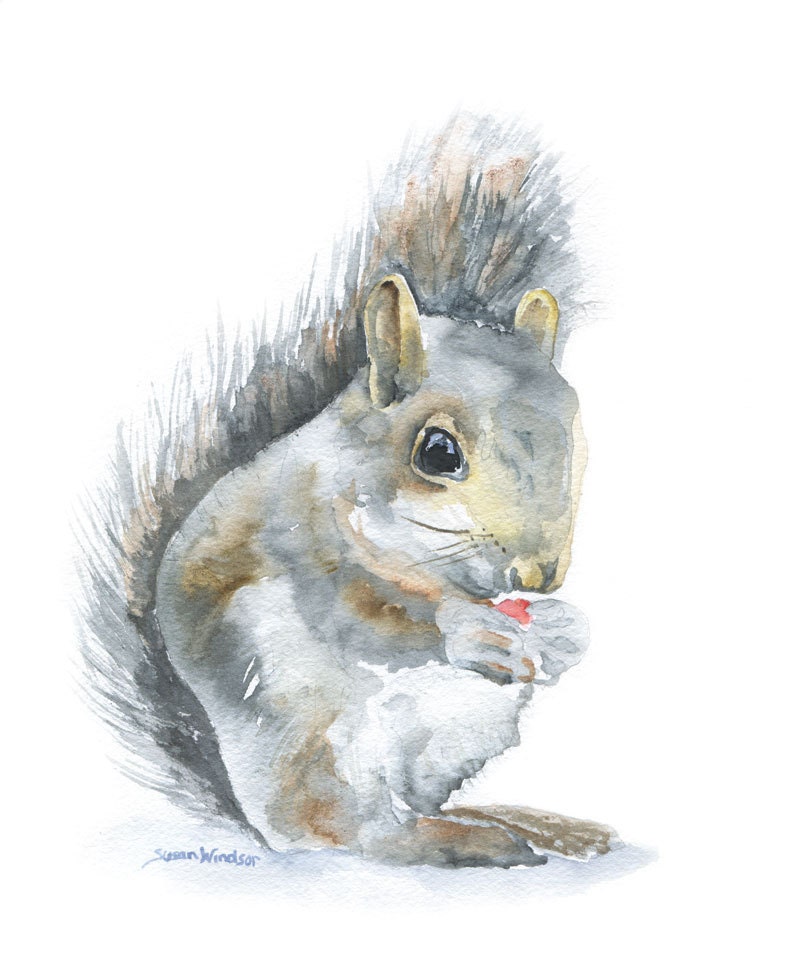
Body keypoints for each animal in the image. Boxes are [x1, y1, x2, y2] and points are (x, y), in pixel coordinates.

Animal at [78, 114, 619, 869]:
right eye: (438, 452)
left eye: (578, 440)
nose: (539, 576)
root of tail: (244, 808)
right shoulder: (303, 542)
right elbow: (367, 618)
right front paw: (466, 630)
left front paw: (568, 632)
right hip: (307, 726)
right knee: (340, 830)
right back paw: (450, 840)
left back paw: (517, 823)